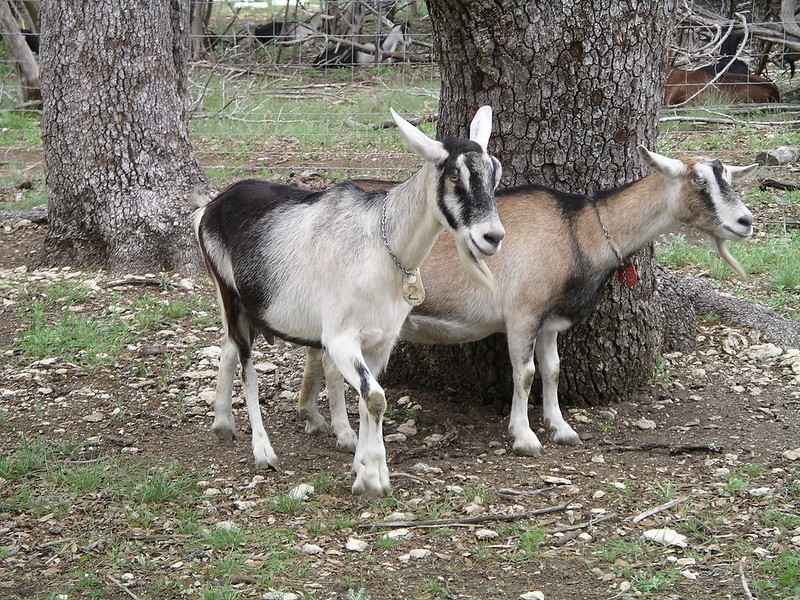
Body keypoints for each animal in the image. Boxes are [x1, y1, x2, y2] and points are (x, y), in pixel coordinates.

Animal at [192, 106, 505, 497]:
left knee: (227, 346)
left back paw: (222, 421)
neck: (383, 246)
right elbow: (376, 397)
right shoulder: (340, 338)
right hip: (229, 293)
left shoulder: (381, 341)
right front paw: (374, 478)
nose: (493, 237)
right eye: (453, 176)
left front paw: (361, 464)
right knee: (247, 362)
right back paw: (263, 451)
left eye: (495, 173)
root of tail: (209, 208)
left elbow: (367, 399)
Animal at [297, 146, 757, 457]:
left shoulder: (550, 320)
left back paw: (313, 416)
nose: (745, 222)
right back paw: (343, 432)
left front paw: (561, 427)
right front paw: (525, 436)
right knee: (332, 363)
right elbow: (525, 374)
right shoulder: (522, 314)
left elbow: (552, 370)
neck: (578, 230)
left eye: (728, 179)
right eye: (699, 182)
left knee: (318, 355)